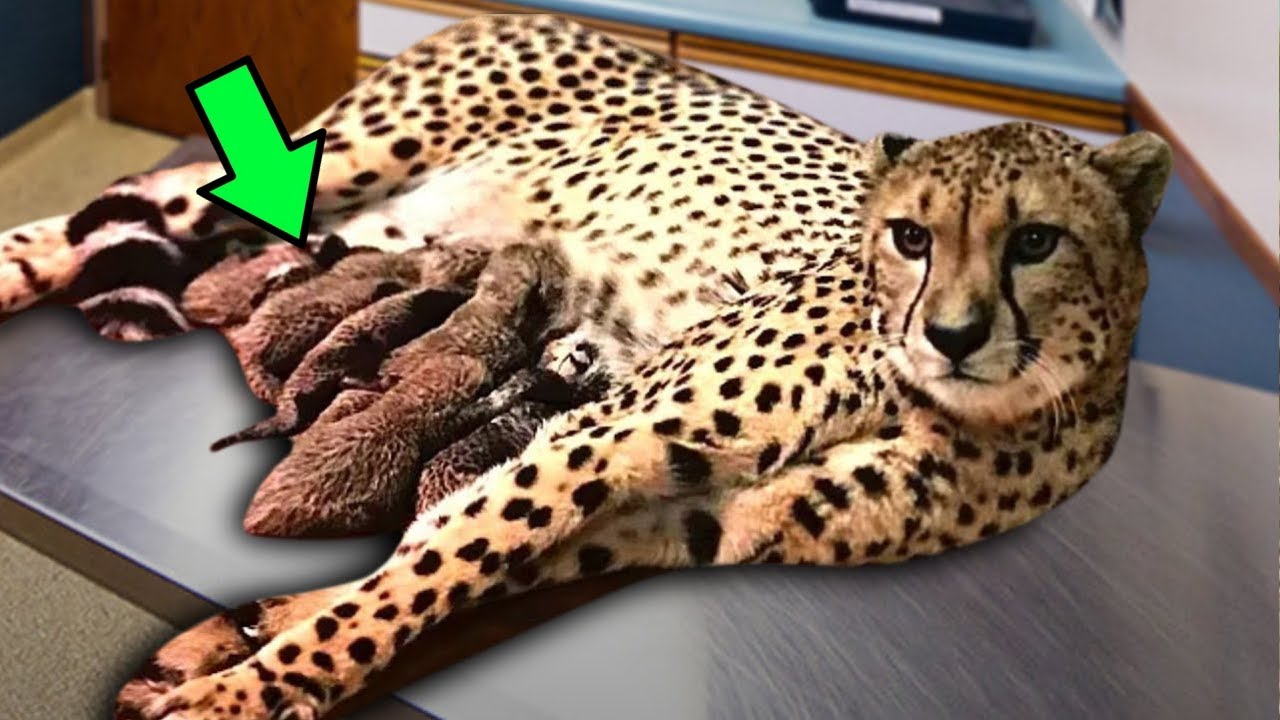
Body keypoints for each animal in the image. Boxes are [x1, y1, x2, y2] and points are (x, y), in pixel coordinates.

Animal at [0, 14, 1170, 719]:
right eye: (909, 236)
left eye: (1035, 240)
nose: (951, 333)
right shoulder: (593, 439)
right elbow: (432, 570)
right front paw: (246, 691)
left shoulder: (686, 530)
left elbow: (452, 579)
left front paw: (238, 642)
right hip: (351, 150)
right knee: (131, 204)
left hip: (373, 218)